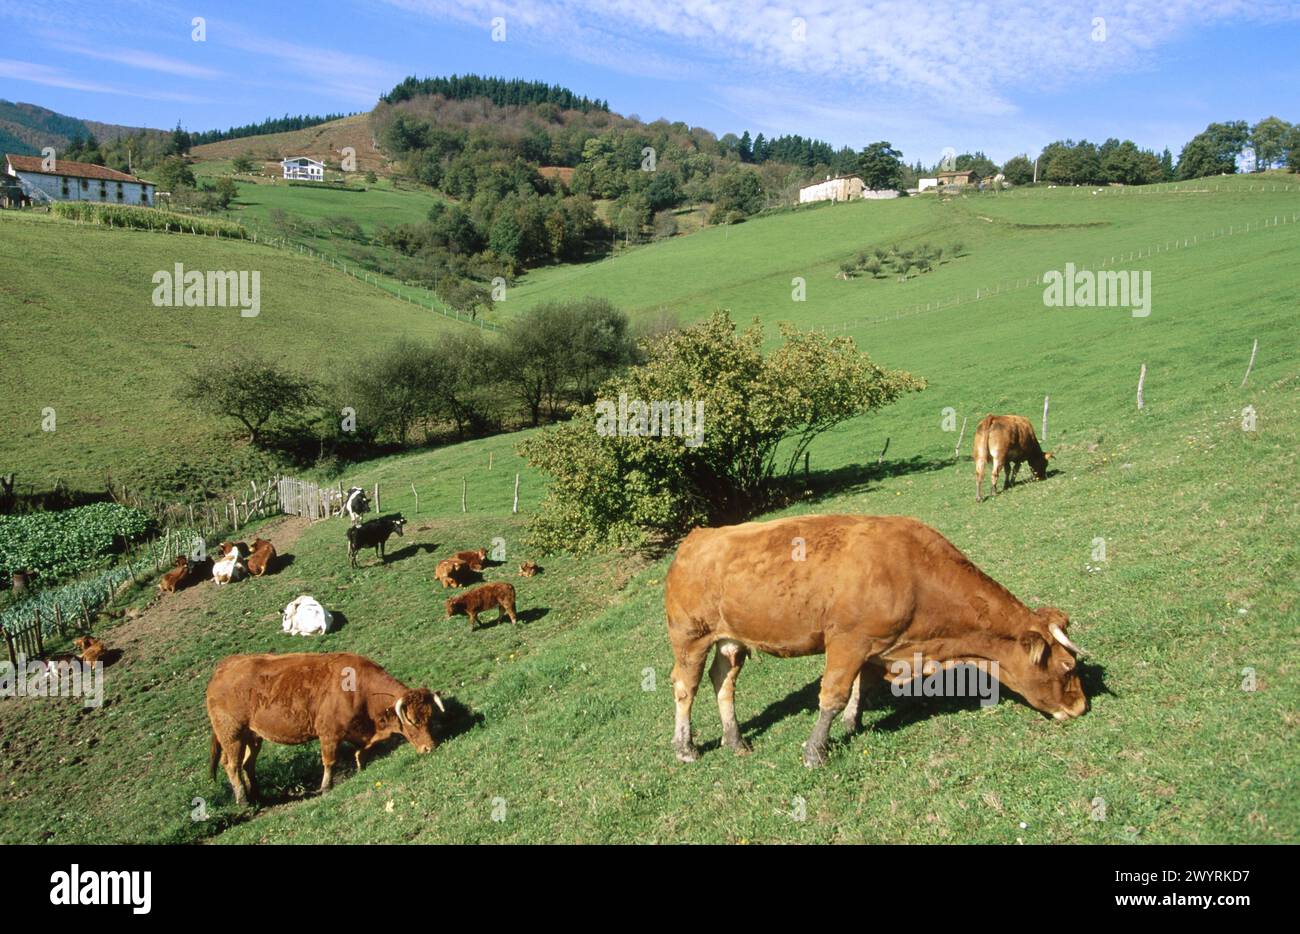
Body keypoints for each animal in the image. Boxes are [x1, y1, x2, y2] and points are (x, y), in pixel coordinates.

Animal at [206, 652, 445, 804]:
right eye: (412, 721)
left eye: (430, 717)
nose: (430, 747)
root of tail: (224, 666)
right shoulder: (329, 733)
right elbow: (330, 761)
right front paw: (325, 786)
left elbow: (361, 752)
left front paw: (361, 766)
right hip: (232, 734)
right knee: (232, 765)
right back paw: (243, 800)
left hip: (253, 735)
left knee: (248, 764)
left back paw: (257, 795)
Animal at [665, 514, 1088, 767]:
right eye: (1067, 667)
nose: (1081, 707)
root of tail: (699, 537)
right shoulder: (847, 641)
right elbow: (832, 695)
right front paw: (816, 751)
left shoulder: (876, 646)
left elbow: (861, 687)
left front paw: (852, 723)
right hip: (690, 636)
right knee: (686, 687)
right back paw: (685, 748)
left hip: (729, 640)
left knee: (723, 681)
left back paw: (735, 740)